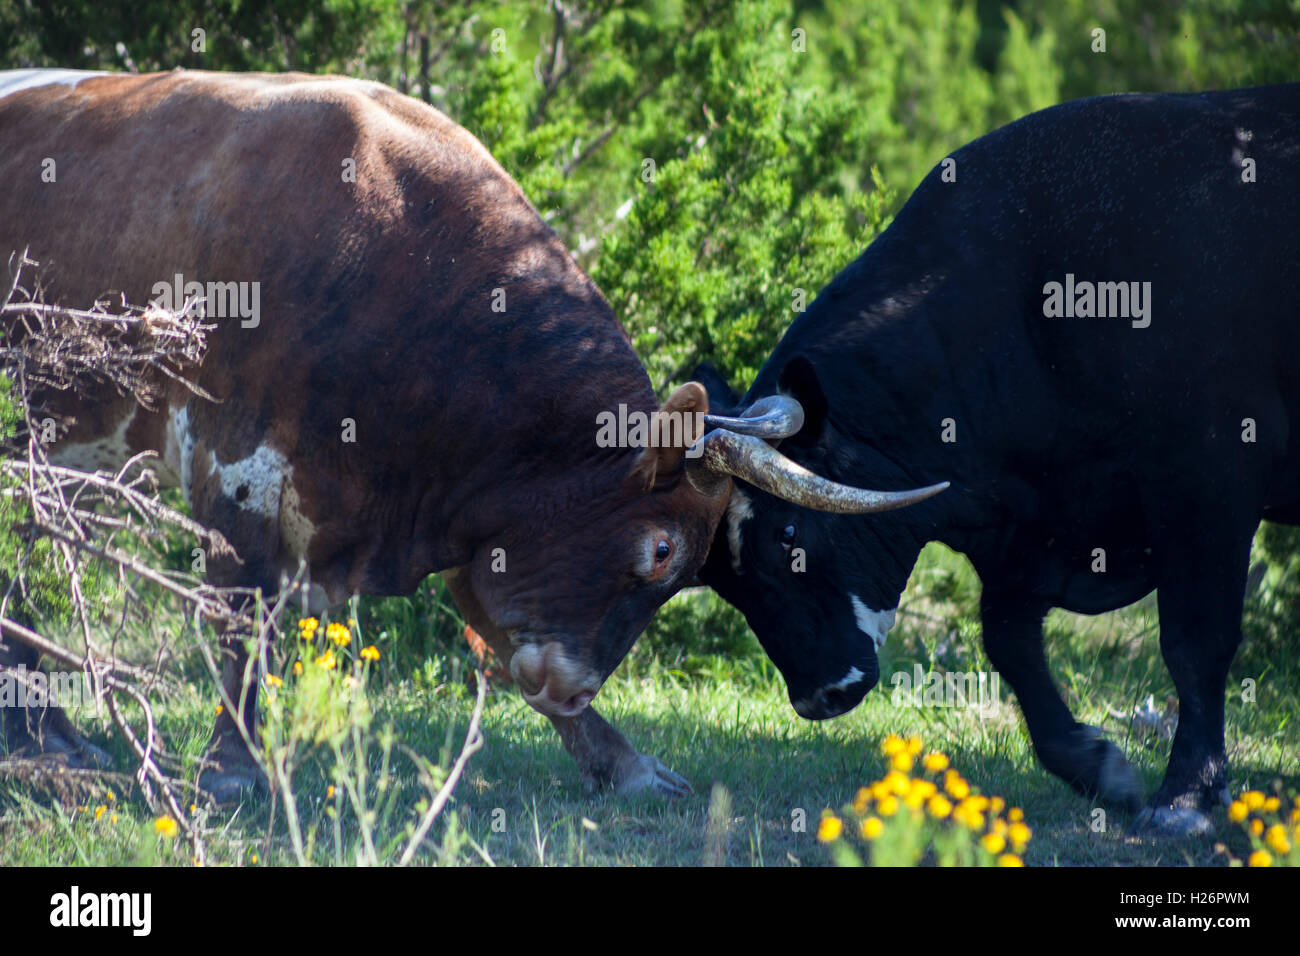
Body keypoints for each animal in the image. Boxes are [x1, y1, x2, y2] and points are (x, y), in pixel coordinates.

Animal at [0, 69, 941, 802]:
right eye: (663, 551)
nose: (573, 689)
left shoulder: (483, 519)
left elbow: (499, 636)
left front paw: (624, 764)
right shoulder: (237, 466)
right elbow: (241, 620)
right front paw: (231, 770)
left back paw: (46, 734)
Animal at [694, 84, 1300, 836]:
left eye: (786, 534)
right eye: (721, 578)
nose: (817, 695)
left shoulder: (1207, 487)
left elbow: (1194, 642)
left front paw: (1186, 796)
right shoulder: (1031, 530)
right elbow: (1008, 640)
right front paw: (1094, 763)